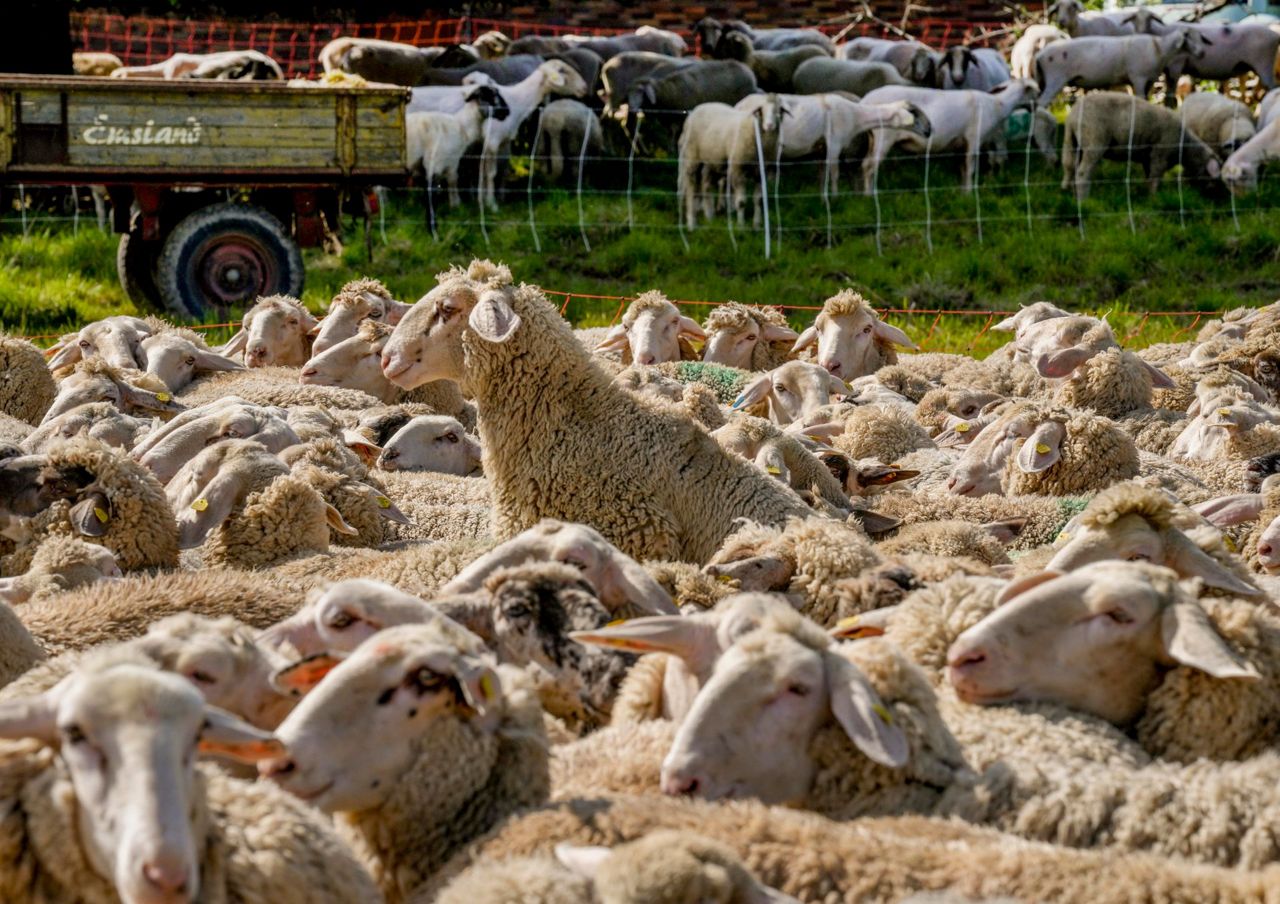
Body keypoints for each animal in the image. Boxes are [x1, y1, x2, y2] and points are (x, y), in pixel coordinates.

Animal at [676, 97, 784, 230]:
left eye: (779, 110)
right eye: (761, 109)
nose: (769, 126)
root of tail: (697, 109)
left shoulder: (761, 171)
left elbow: (758, 200)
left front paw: (757, 225)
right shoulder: (738, 168)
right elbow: (741, 201)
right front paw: (741, 226)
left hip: (710, 160)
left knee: (705, 184)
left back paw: (709, 216)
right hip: (692, 156)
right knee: (690, 185)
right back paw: (691, 222)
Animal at [860, 80, 1040, 194]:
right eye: (1035, 93)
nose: (1037, 107)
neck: (999, 104)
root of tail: (865, 101)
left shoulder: (961, 144)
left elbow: (962, 168)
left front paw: (962, 192)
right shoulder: (974, 138)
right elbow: (970, 169)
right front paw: (969, 193)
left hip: (873, 137)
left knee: (865, 164)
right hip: (884, 136)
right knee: (869, 167)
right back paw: (870, 196)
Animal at [1034, 30, 1209, 104]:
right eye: (1188, 37)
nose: (1202, 53)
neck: (1159, 48)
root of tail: (1040, 55)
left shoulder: (1149, 80)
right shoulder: (1138, 77)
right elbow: (1140, 99)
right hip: (1056, 79)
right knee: (1041, 104)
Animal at [1062, 92, 1222, 200]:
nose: (1219, 198)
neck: (1185, 148)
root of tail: (1073, 115)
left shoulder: (1148, 158)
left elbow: (1148, 177)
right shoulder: (1160, 154)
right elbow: (1155, 178)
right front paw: (1154, 198)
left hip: (1072, 142)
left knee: (1069, 166)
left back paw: (1068, 191)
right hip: (1094, 141)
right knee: (1082, 172)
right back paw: (1083, 199)